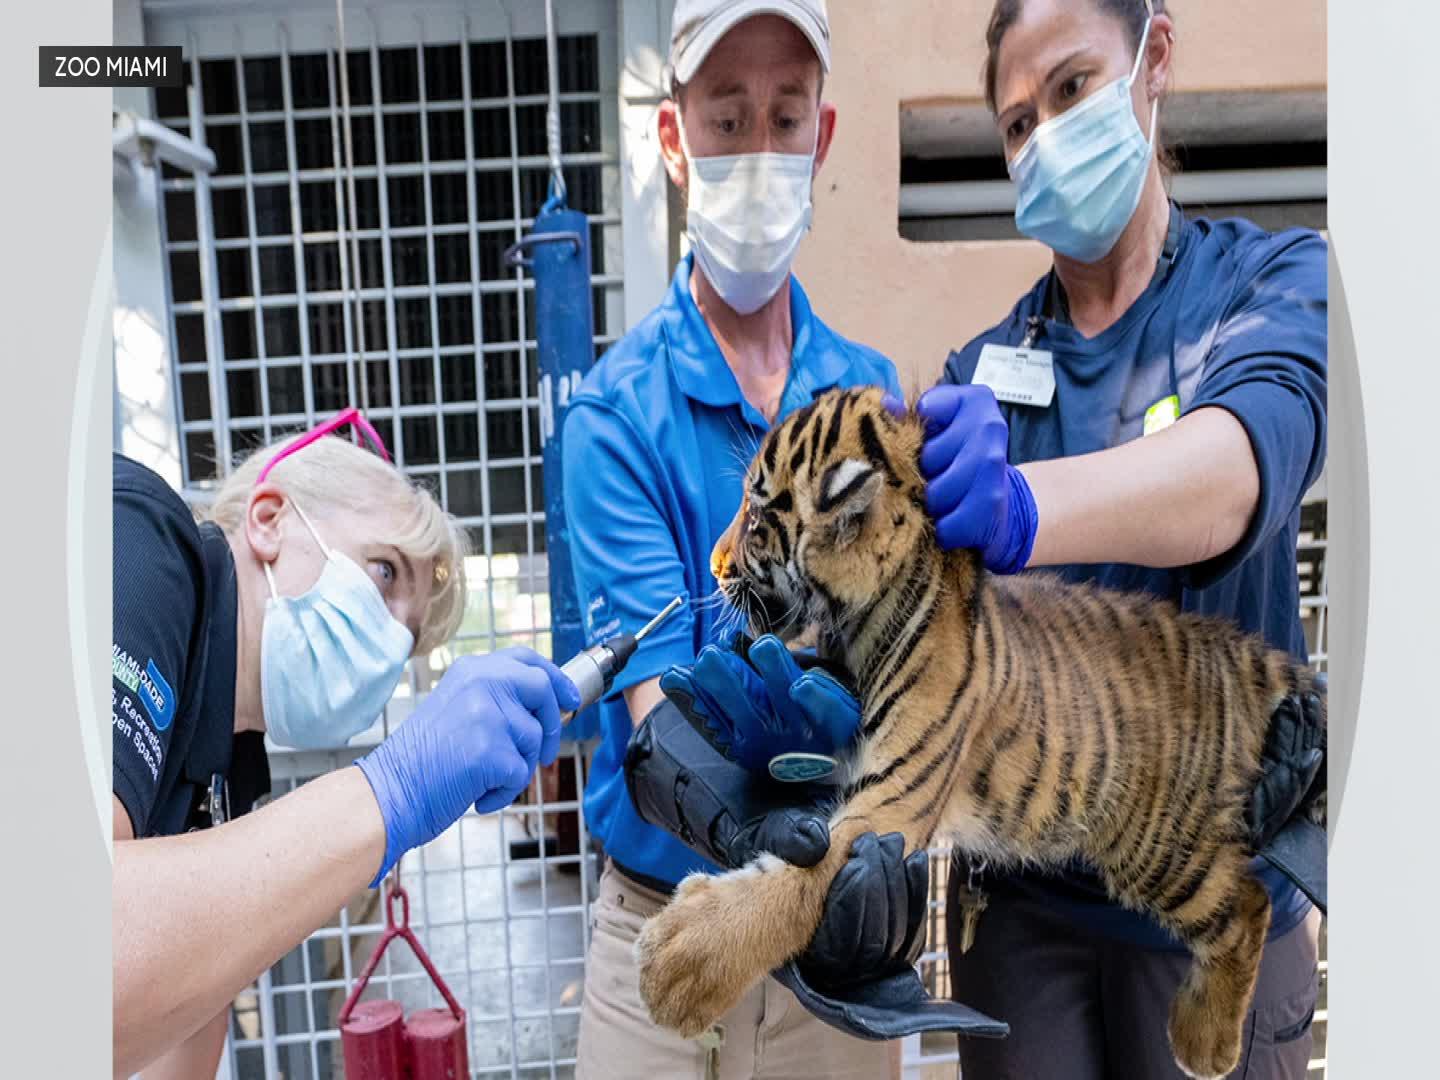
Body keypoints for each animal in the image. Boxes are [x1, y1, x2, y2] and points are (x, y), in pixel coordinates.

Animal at [633, 386, 1326, 1080]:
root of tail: (1248, 657)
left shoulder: (891, 801)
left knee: (1248, 905)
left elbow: (800, 884)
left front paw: (676, 968)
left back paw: (1204, 1043)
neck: (861, 619)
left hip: (1160, 847)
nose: (716, 565)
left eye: (756, 516)